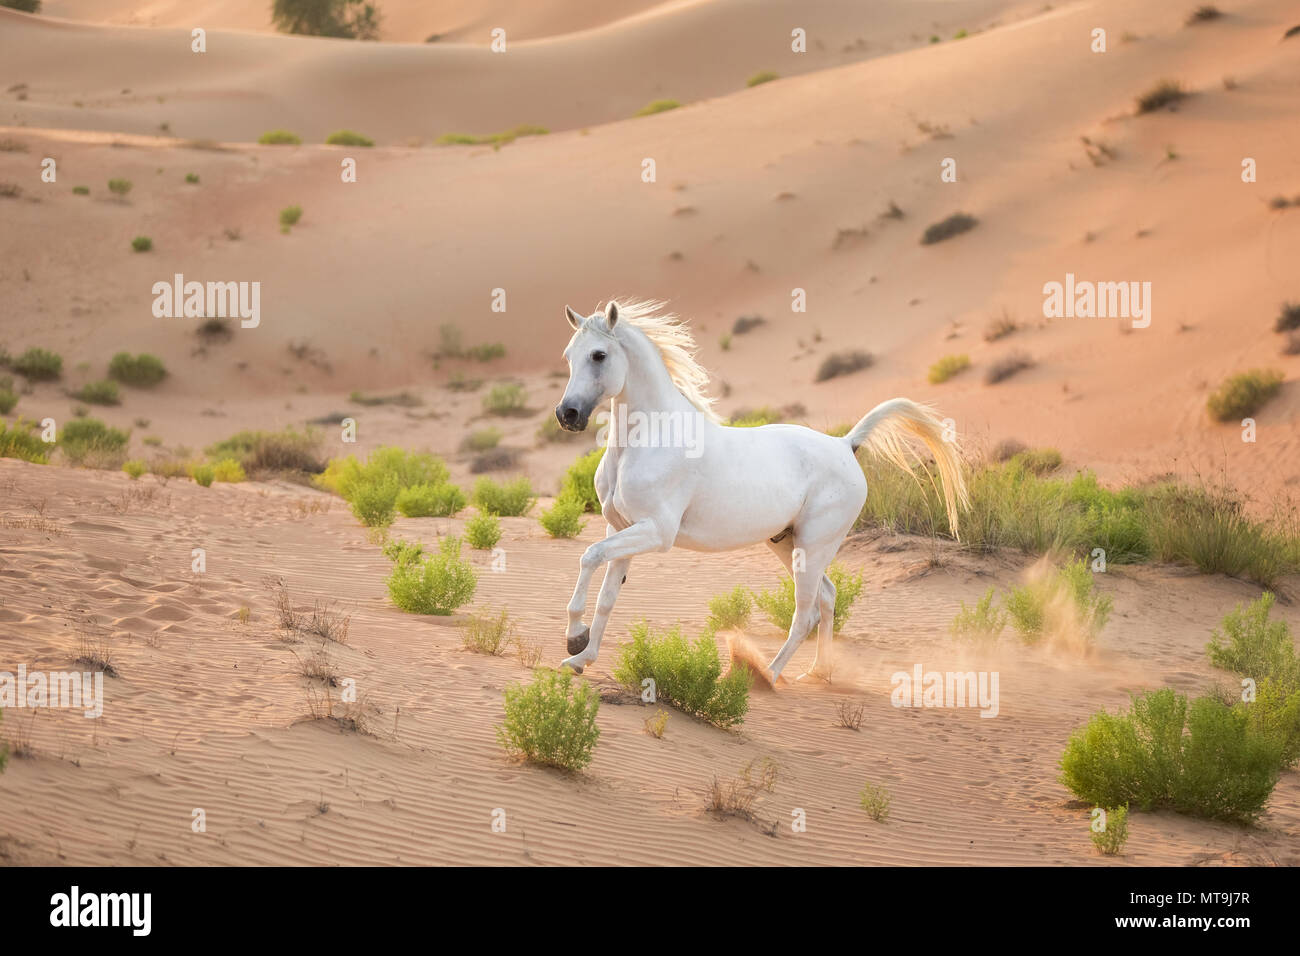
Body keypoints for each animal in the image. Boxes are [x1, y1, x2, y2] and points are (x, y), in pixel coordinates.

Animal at [553, 299, 969, 683]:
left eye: (599, 354)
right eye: (568, 355)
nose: (567, 415)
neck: (647, 441)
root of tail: (845, 444)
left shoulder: (655, 532)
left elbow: (589, 556)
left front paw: (574, 639)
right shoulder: (621, 528)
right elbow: (607, 597)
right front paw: (580, 658)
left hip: (813, 546)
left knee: (806, 612)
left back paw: (767, 676)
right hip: (787, 543)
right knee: (828, 597)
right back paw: (817, 673)